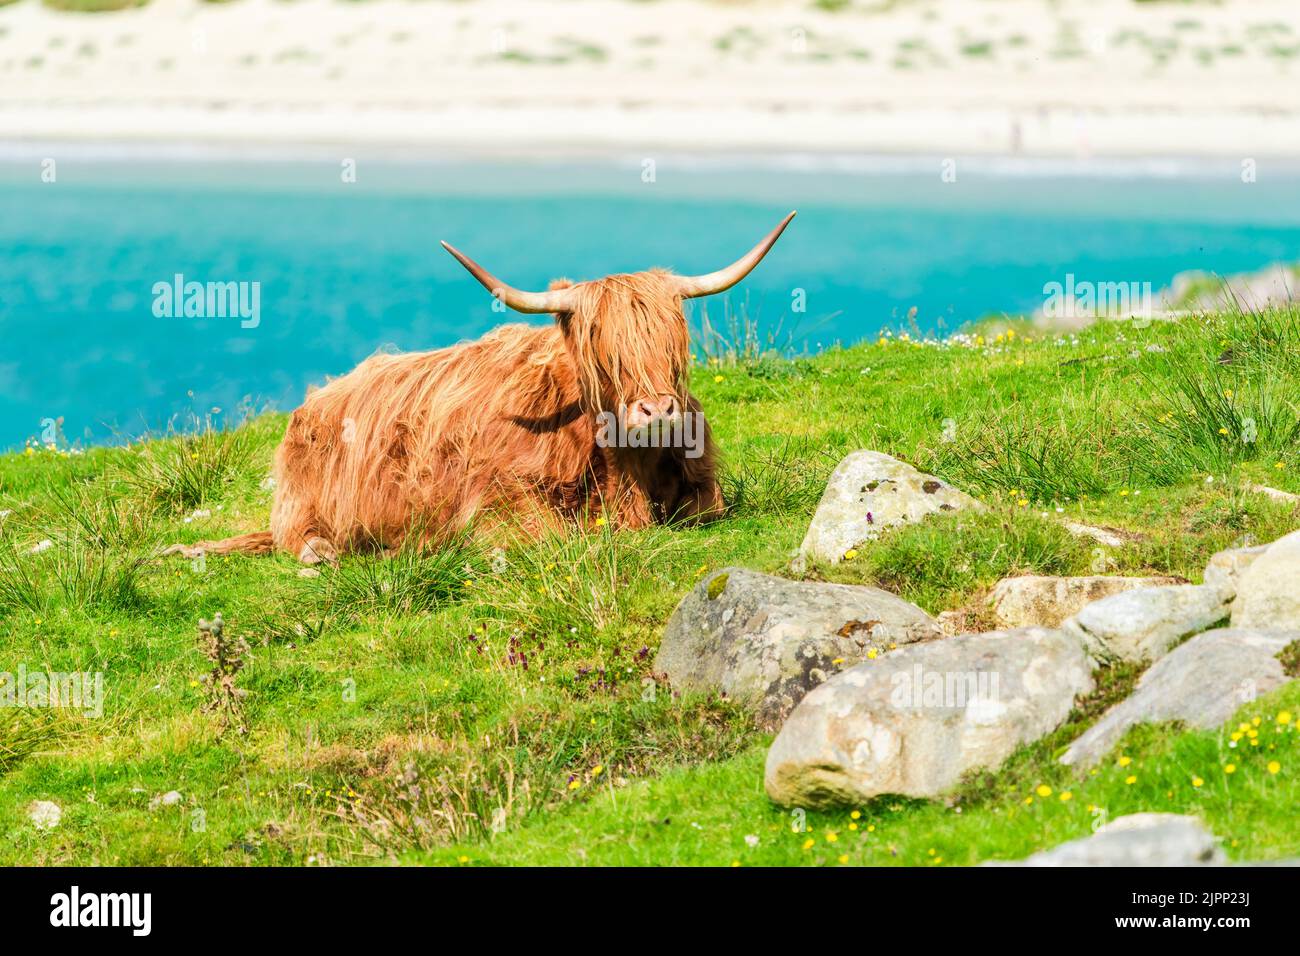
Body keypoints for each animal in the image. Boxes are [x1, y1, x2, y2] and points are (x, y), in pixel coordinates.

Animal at [166, 211, 796, 564]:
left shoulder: (702, 482)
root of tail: (313, 402)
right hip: (301, 505)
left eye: (674, 339)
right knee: (297, 539)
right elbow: (553, 537)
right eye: (602, 347)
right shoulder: (496, 501)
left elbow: (707, 508)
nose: (657, 409)